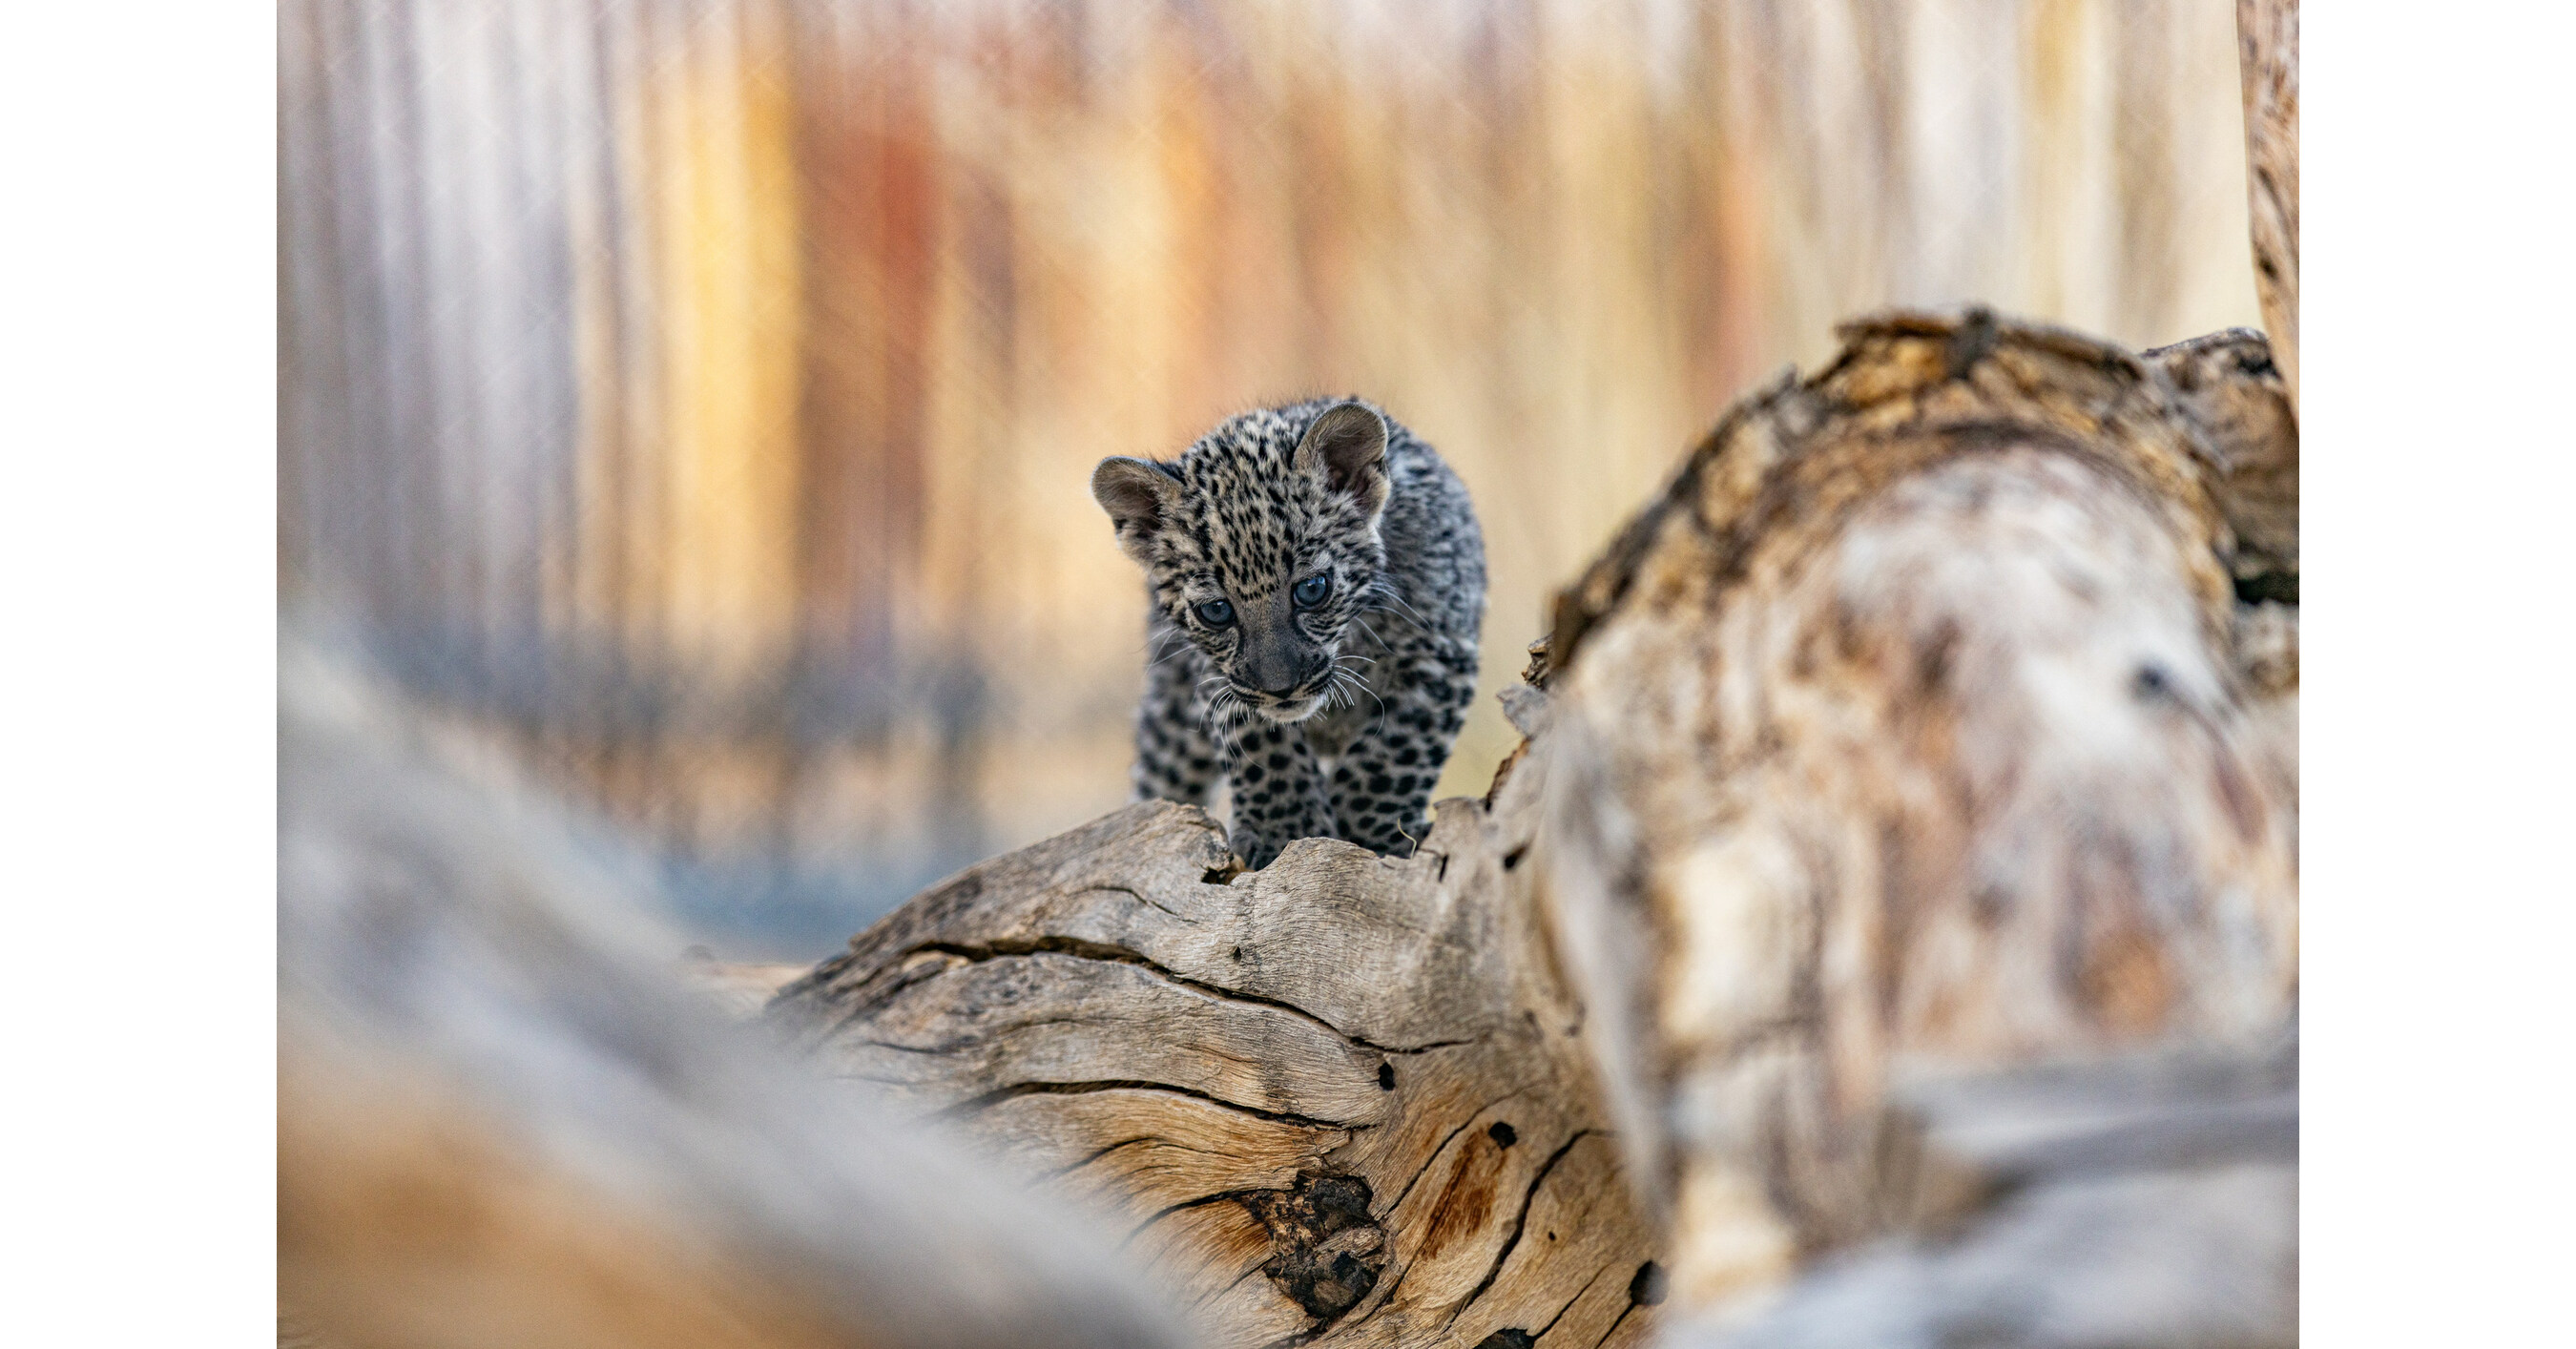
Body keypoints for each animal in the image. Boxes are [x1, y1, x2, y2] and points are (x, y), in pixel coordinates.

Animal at [1090, 397, 1486, 869]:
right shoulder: (1218, 675)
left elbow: (1393, 752)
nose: (1281, 689)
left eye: (1312, 589)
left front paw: (1376, 835)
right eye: (1216, 611)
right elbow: (1263, 744)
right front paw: (1284, 831)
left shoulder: (1440, 657)